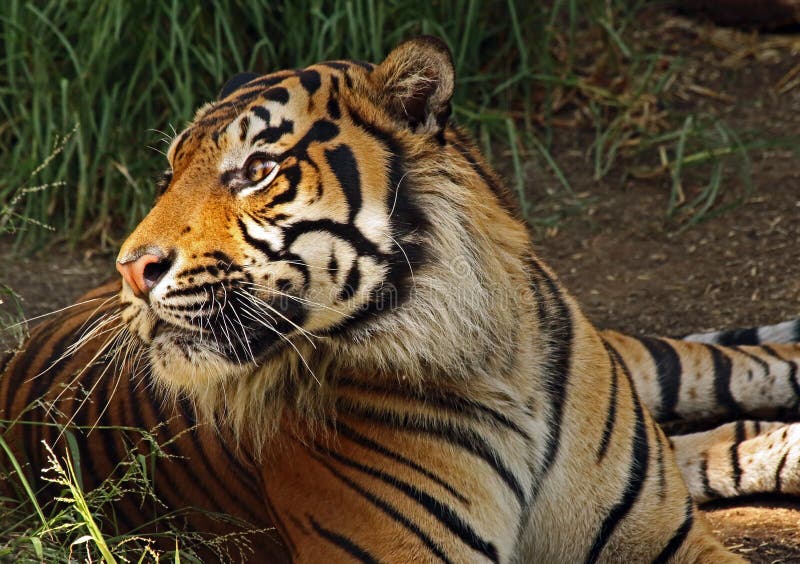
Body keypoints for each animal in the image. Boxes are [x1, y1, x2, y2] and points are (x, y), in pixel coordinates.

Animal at [3, 36, 800, 562]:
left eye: (257, 169)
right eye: (170, 175)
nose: (131, 268)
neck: (490, 358)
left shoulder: (669, 542)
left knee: (736, 371)